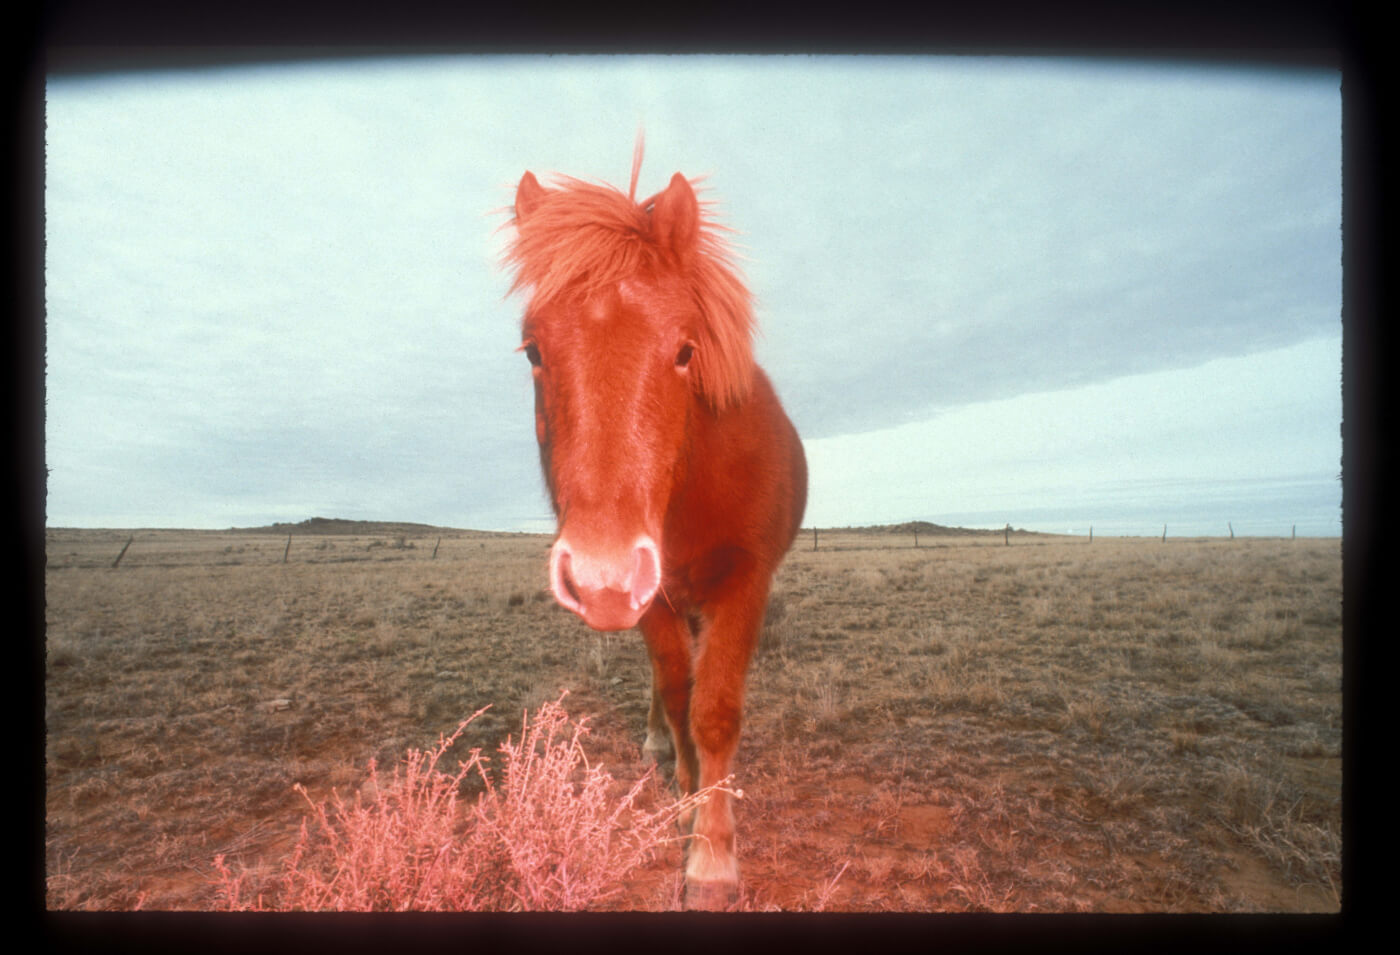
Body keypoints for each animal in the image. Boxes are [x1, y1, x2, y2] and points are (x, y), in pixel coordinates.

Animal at [502, 147, 807, 909]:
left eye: (685, 350)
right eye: (533, 350)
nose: (602, 577)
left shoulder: (744, 580)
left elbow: (715, 708)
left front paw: (712, 859)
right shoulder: (655, 595)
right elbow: (676, 695)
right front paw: (688, 799)